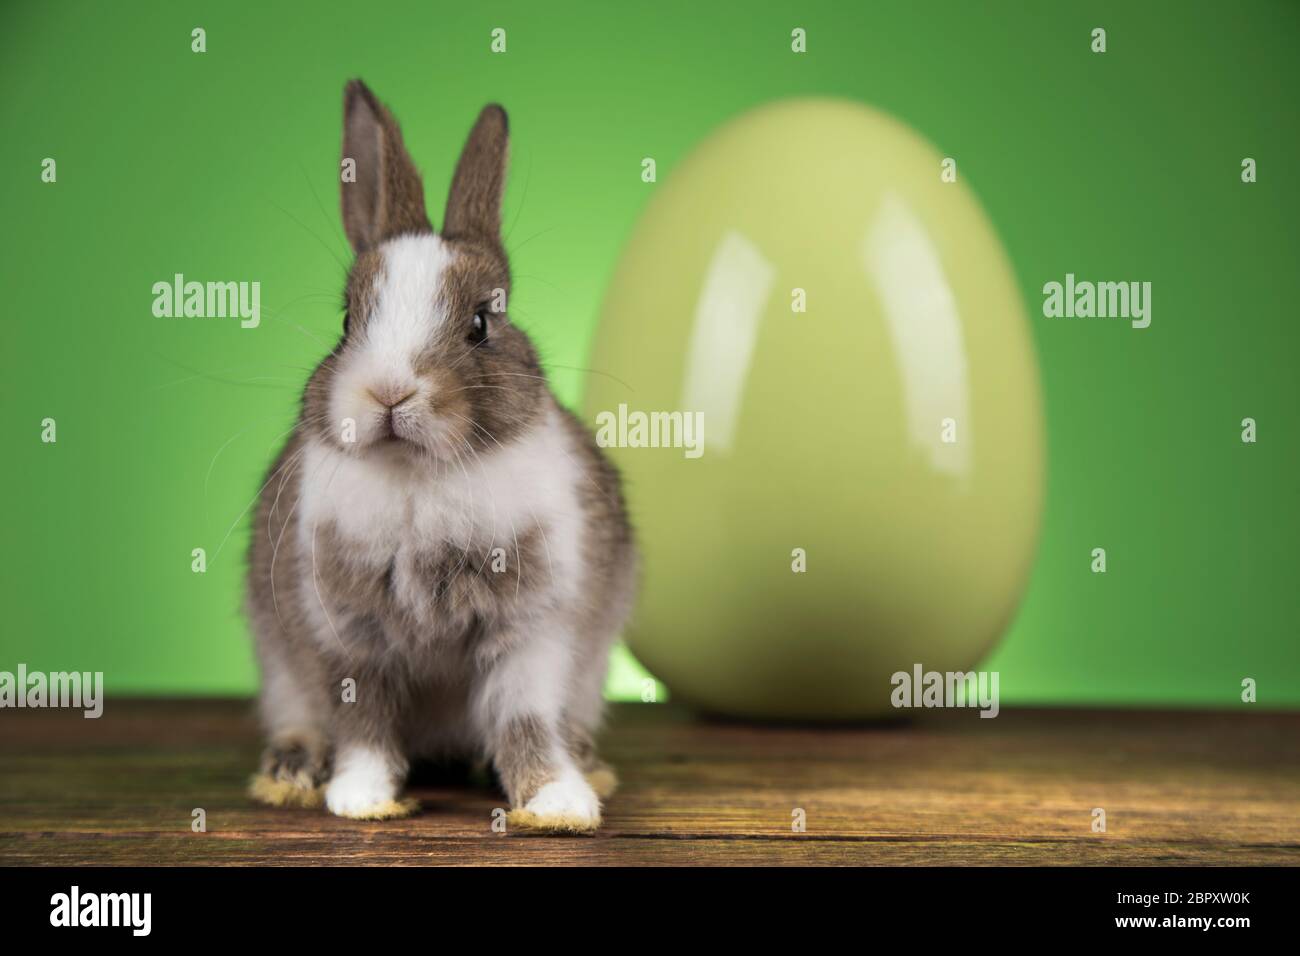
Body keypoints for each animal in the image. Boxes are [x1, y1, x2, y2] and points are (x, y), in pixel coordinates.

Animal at [244, 80, 637, 832]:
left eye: (483, 322)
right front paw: (362, 800)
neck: (419, 478)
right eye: (347, 321)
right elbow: (363, 720)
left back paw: (589, 762)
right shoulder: (346, 632)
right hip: (279, 668)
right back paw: (288, 772)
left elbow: (524, 719)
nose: (389, 391)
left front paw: (557, 802)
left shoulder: (534, 628)